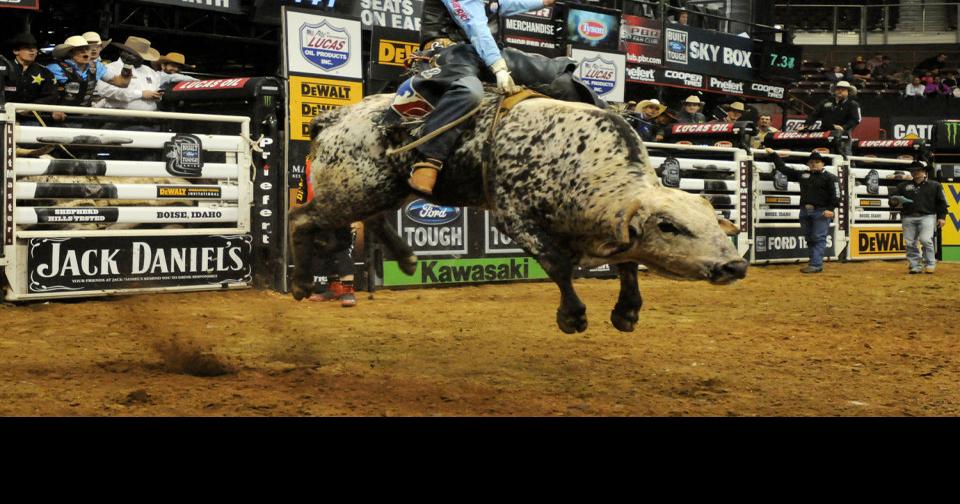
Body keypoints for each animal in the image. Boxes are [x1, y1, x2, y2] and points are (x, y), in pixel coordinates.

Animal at [290, 91, 748, 333]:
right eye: (670, 227)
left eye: (714, 223)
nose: (735, 266)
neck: (581, 160)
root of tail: (335, 117)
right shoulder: (515, 218)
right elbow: (558, 264)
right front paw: (573, 315)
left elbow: (628, 263)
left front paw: (626, 311)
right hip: (351, 189)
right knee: (302, 218)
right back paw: (300, 283)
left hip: (384, 190)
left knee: (373, 218)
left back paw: (404, 257)